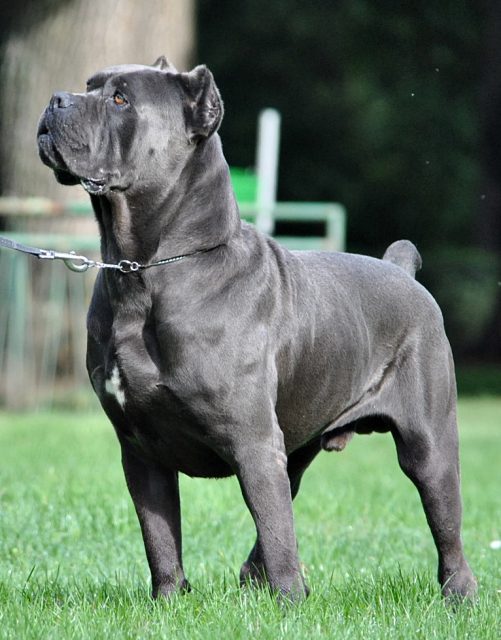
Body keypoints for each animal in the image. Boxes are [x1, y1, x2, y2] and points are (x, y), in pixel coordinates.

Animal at [37, 57, 474, 604]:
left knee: (444, 524)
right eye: (90, 85)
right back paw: (252, 577)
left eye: (120, 99)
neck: (142, 268)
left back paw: (458, 596)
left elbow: (276, 526)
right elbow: (160, 535)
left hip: (428, 444)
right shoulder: (139, 449)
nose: (55, 99)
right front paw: (169, 601)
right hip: (298, 442)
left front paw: (289, 605)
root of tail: (403, 271)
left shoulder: (252, 440)